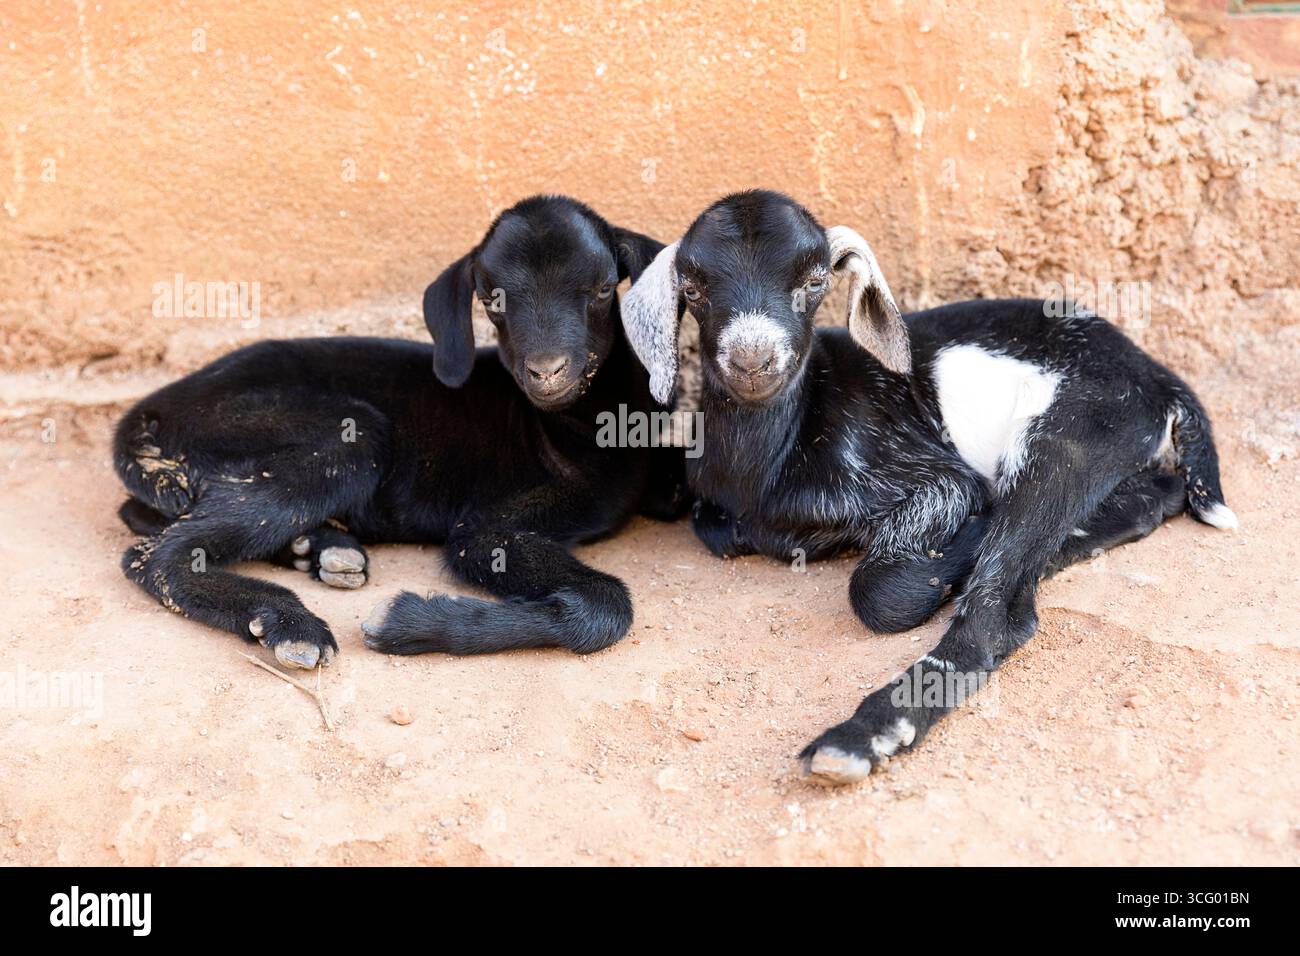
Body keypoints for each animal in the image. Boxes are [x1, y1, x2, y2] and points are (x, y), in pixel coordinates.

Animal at [114, 195, 686, 670]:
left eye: (601, 289)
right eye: (492, 301)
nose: (547, 371)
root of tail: (145, 415)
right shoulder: (486, 530)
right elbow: (605, 605)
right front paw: (408, 624)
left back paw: (318, 548)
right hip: (337, 434)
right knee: (156, 556)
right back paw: (289, 622)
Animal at [621, 189, 1235, 785]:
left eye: (815, 282)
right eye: (693, 288)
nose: (754, 361)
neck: (769, 465)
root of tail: (1156, 374)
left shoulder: (936, 478)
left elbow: (879, 591)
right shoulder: (716, 511)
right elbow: (718, 530)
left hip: (1072, 428)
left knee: (996, 612)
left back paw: (861, 737)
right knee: (1141, 500)